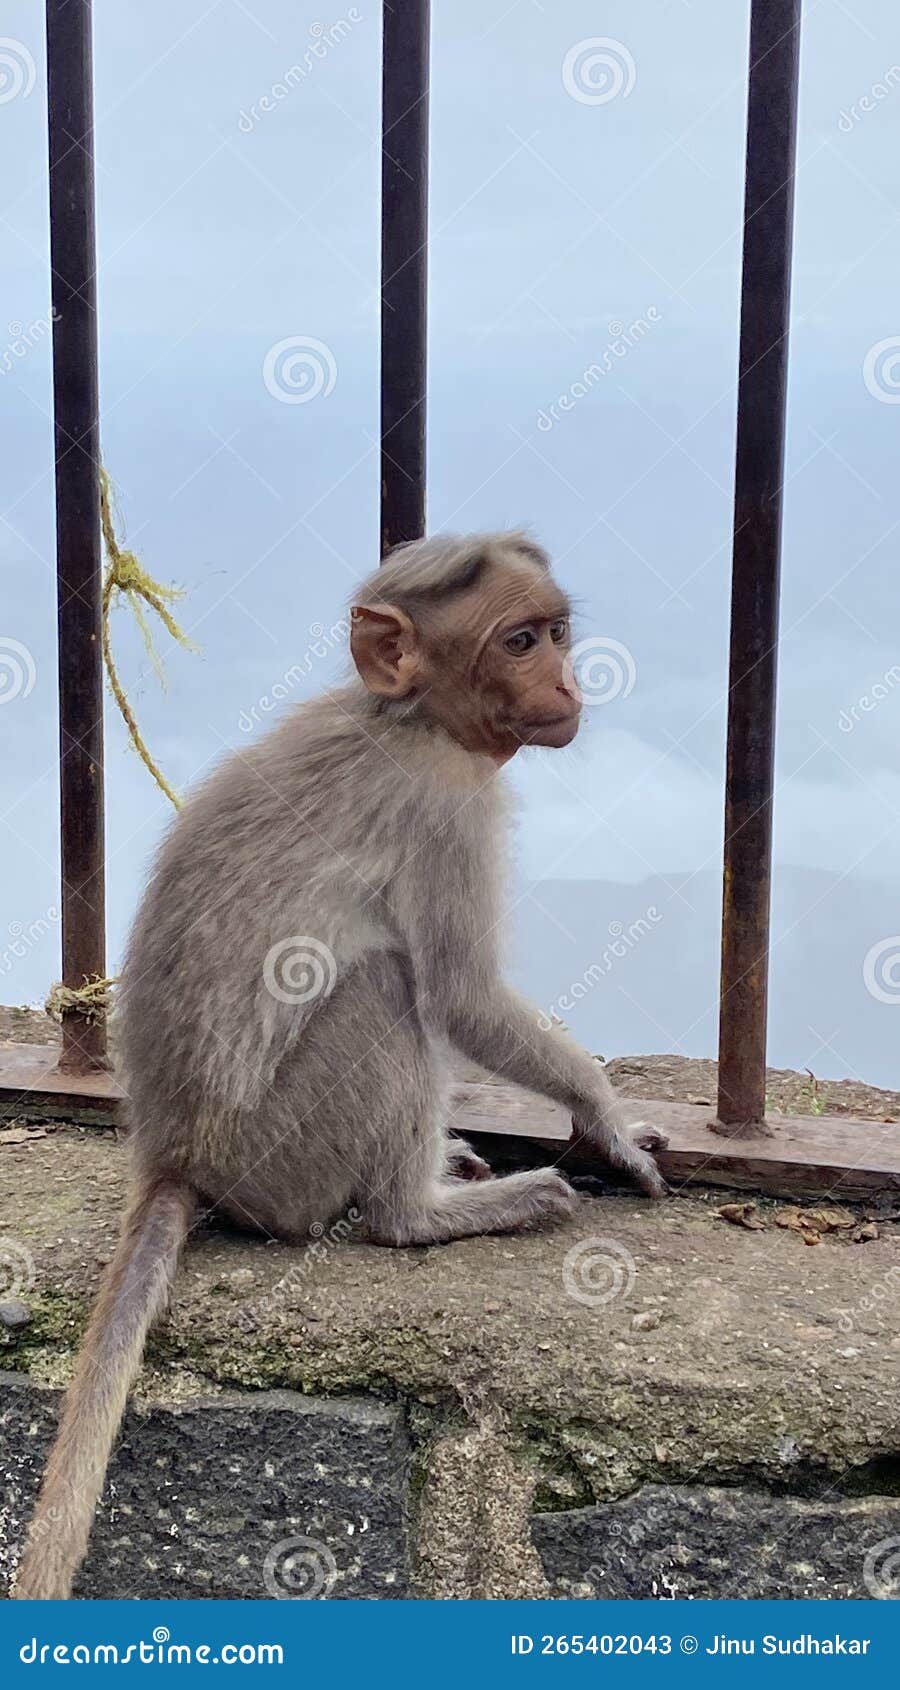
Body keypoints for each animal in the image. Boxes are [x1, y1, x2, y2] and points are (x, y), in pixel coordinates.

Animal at [13, 530, 665, 1600]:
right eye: (519, 641)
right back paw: (423, 1212)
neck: (410, 716)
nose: (568, 681)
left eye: (558, 632)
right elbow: (461, 996)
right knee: (384, 985)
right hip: (285, 1155)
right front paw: (604, 1119)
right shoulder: (444, 805)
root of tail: (171, 1156)